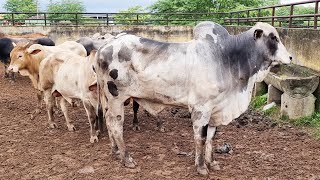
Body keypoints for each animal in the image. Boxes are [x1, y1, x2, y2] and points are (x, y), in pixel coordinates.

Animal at [93, 21, 292, 176]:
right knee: (116, 125)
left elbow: (211, 137)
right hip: (116, 98)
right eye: (273, 37)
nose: (290, 57)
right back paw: (126, 158)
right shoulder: (201, 108)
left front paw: (212, 162)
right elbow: (200, 138)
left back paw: (115, 151)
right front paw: (201, 167)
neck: (228, 58)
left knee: (109, 123)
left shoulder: (215, 109)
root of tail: (103, 48)